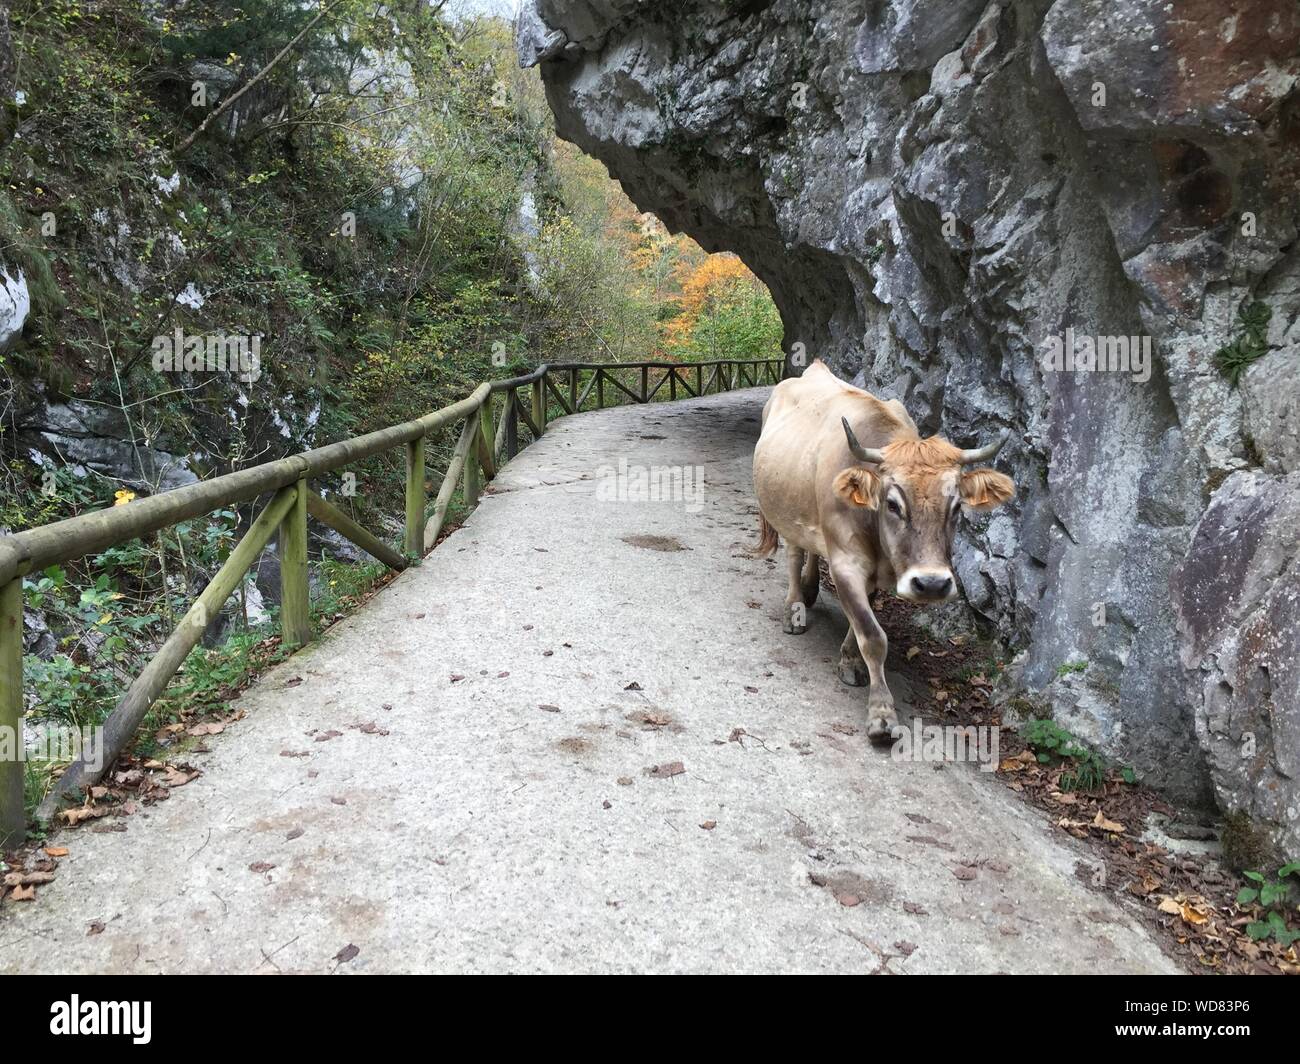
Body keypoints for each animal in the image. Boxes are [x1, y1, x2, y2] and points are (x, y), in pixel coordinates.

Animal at [753, 360, 1015, 742]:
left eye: (955, 507)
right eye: (893, 504)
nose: (932, 584)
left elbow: (862, 619)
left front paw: (849, 660)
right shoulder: (846, 562)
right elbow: (873, 635)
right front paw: (881, 713)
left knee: (811, 550)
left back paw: (812, 589)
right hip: (784, 510)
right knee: (794, 553)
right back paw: (795, 608)